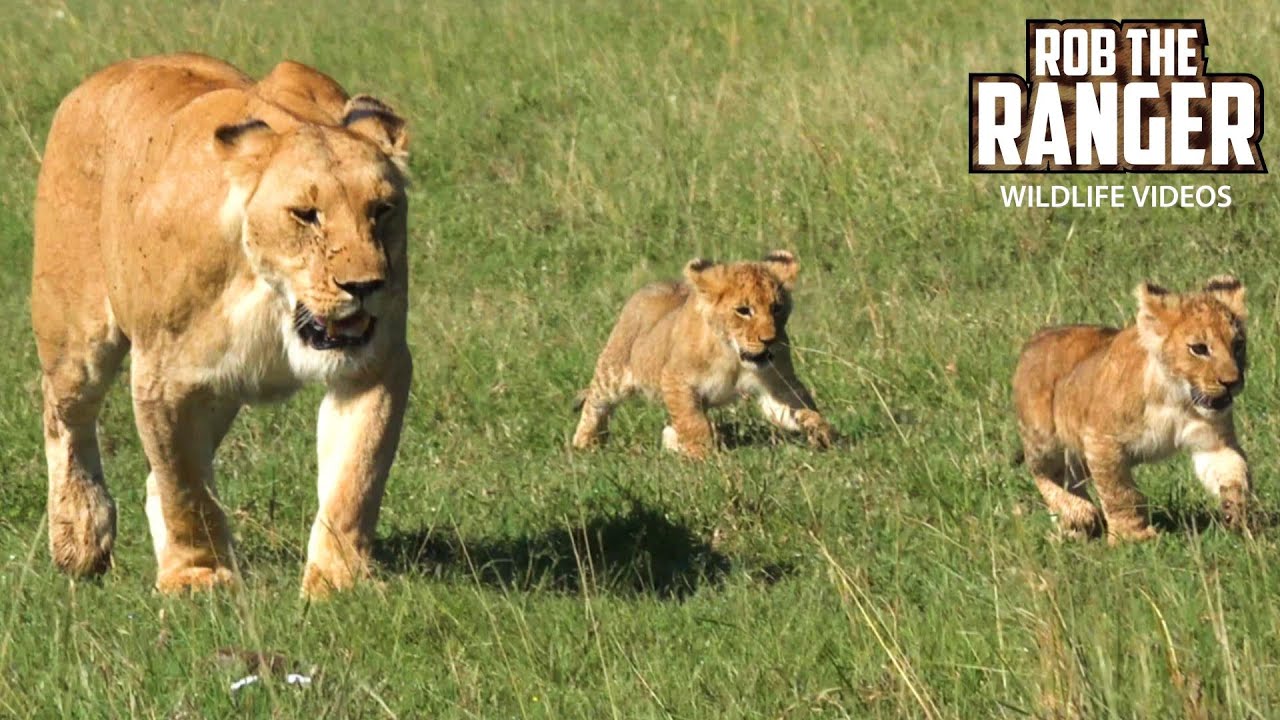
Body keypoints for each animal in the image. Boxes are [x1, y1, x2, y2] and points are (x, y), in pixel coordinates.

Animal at [32, 54, 412, 597]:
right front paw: (197, 577)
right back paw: (80, 538)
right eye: (306, 215)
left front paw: (339, 585)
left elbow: (355, 477)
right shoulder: (164, 377)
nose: (364, 285)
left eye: (382, 209)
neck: (273, 296)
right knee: (65, 417)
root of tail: (104, 75)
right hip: (75, 333)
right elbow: (185, 485)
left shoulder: (375, 364)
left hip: (219, 391)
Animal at [572, 251, 833, 458]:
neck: (733, 358)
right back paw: (585, 443)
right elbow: (692, 422)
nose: (769, 340)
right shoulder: (676, 380)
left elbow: (798, 407)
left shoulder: (776, 385)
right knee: (595, 401)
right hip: (613, 370)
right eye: (743, 311)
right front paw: (701, 454)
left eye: (776, 308)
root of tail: (651, 287)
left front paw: (820, 431)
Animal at [1012, 276, 1249, 542]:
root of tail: (1039, 335)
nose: (1232, 382)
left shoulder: (1212, 442)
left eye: (1238, 345)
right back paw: (1078, 514)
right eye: (1198, 348)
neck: (1175, 398)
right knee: (1044, 471)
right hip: (1043, 439)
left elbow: (1234, 470)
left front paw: (1235, 511)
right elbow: (1120, 493)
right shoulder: (1102, 440)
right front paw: (1133, 536)